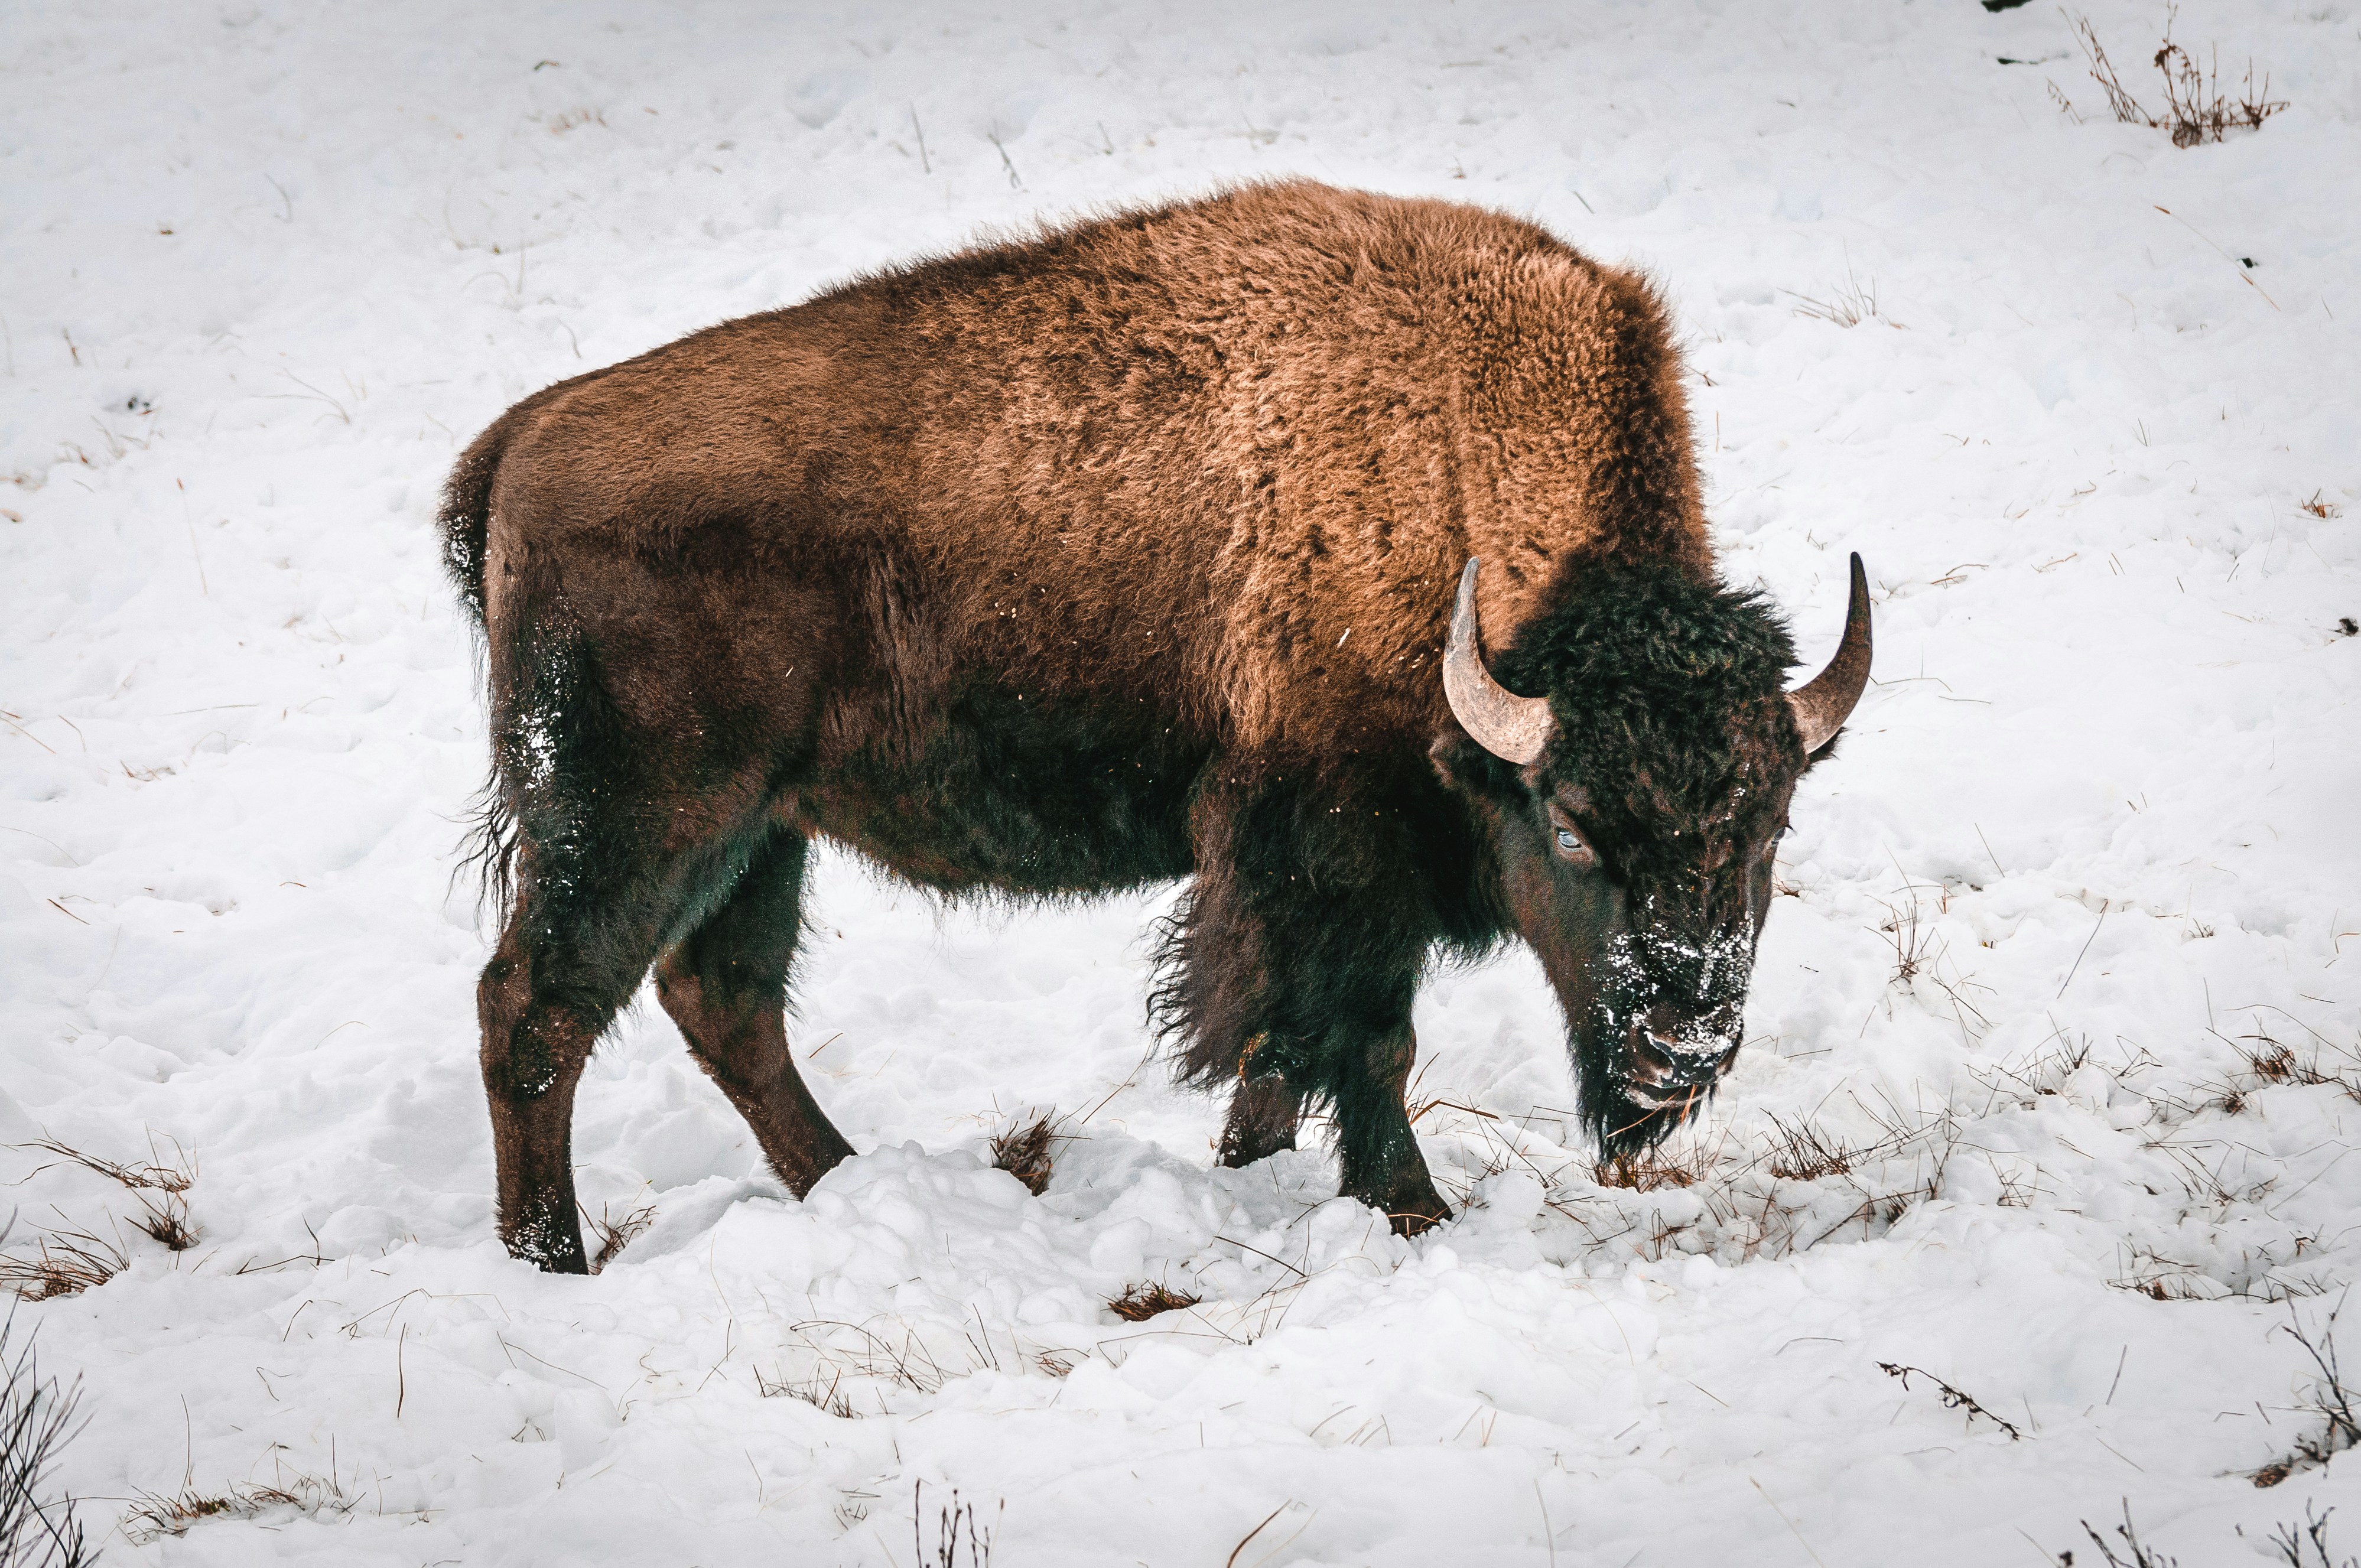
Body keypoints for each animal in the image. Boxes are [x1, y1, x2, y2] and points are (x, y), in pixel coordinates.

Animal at [439, 179, 1869, 1271]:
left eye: (1771, 829)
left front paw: (1253, 1165)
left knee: (722, 999)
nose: (1685, 1045)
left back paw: (845, 1183)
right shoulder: (1336, 852)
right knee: (537, 1009)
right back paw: (554, 1261)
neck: (1456, 469)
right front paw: (1411, 1208)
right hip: (640, 817)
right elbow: (1365, 1035)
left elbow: (1284, 1046)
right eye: (1572, 829)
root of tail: (519, 440)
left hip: (761, 826)